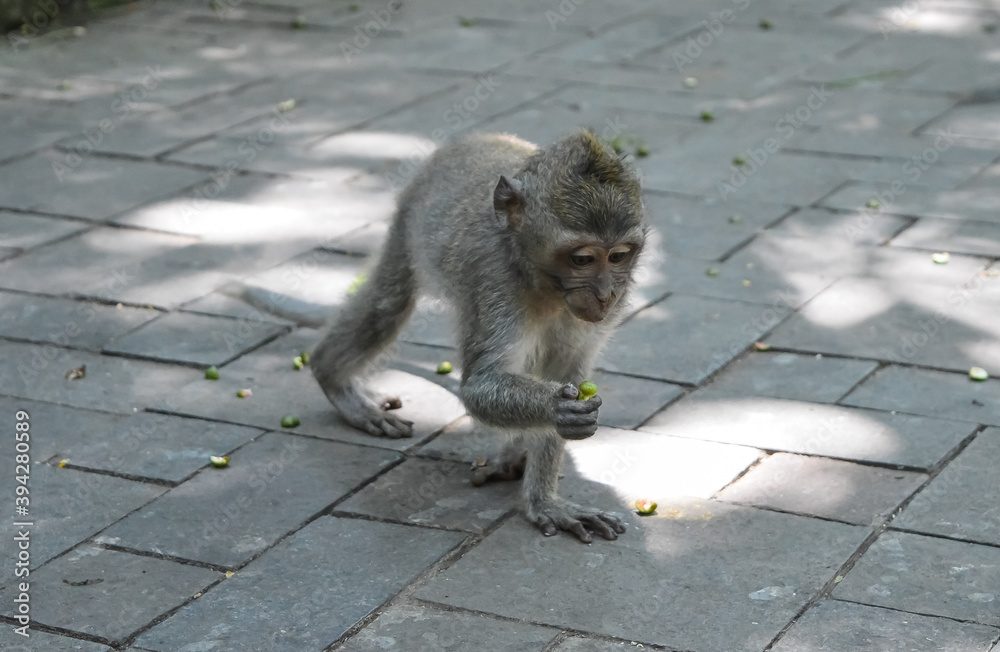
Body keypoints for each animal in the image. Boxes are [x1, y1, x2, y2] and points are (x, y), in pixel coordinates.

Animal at [310, 129, 648, 543]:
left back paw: (512, 456)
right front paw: (558, 410)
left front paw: (545, 500)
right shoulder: (493, 278)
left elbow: (565, 372)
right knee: (387, 305)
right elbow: (481, 385)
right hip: (409, 217)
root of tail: (476, 138)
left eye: (618, 256)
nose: (605, 293)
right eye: (582, 259)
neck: (542, 282)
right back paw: (335, 383)